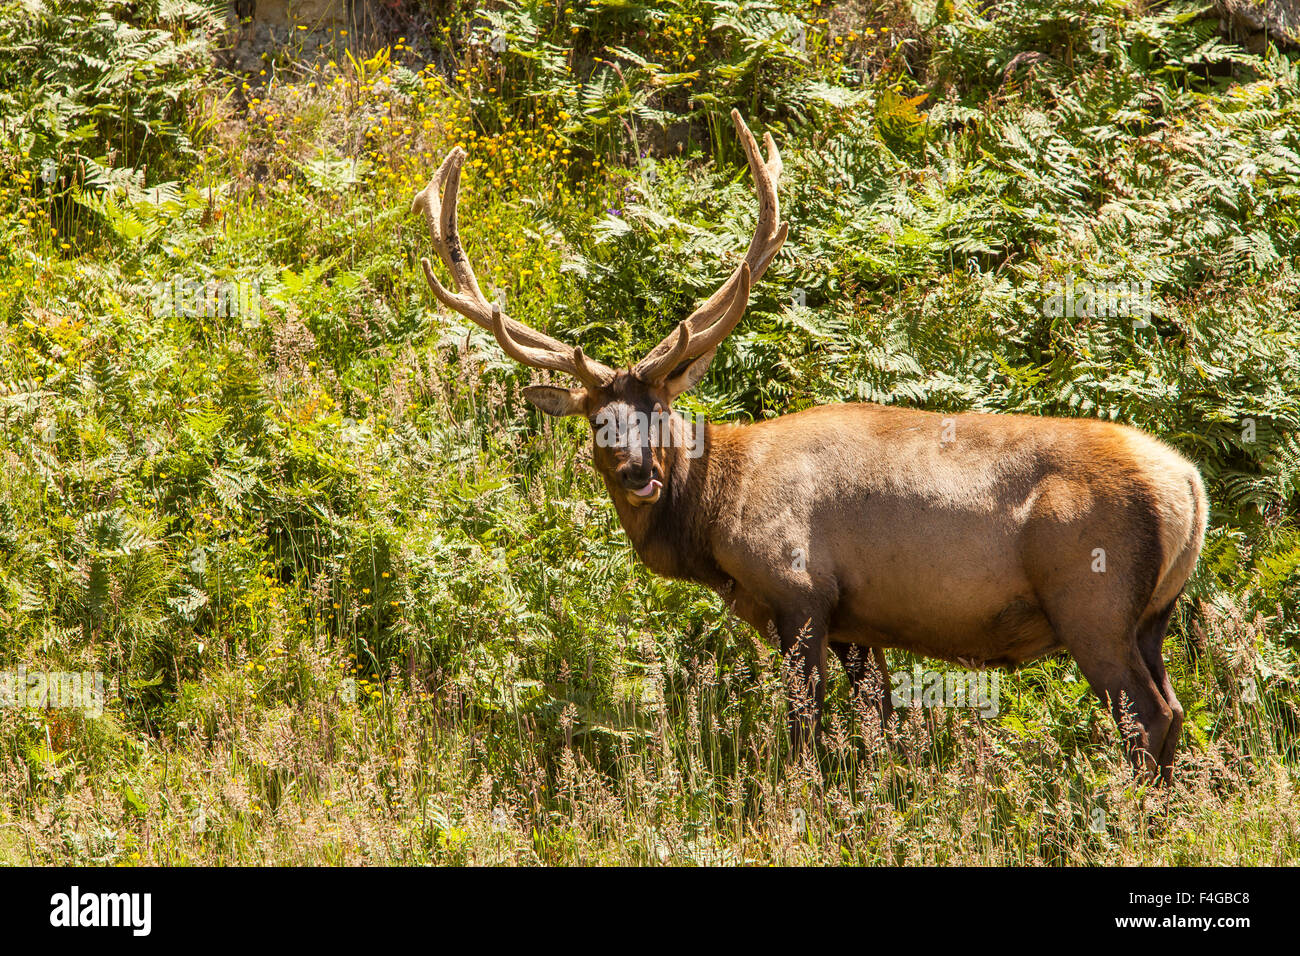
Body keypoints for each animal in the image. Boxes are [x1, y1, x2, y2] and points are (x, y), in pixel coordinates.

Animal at [411, 110, 1208, 783]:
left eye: (658, 409)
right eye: (596, 419)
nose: (639, 473)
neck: (717, 518)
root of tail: (1191, 488)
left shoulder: (801, 590)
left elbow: (803, 730)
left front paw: (805, 800)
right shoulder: (860, 619)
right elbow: (879, 723)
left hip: (1093, 598)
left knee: (1146, 716)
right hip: (1154, 613)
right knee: (1170, 711)